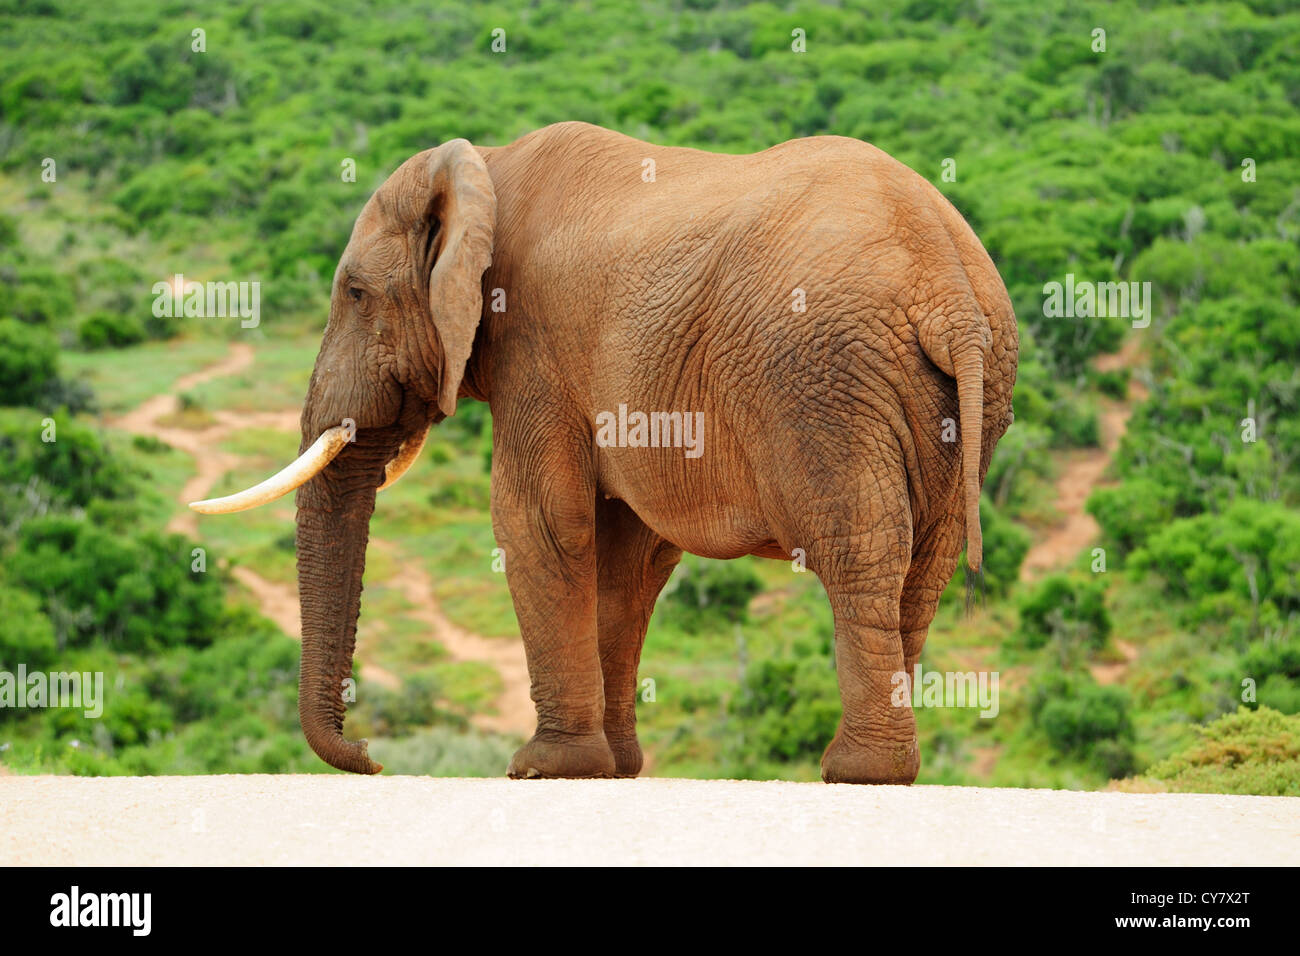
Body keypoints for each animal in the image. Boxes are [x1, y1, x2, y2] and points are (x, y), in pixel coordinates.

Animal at [192, 121, 1018, 784]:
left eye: (356, 294)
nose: (369, 757)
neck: (486, 168)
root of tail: (949, 289)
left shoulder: (534, 345)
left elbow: (537, 524)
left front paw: (542, 768)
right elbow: (627, 561)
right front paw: (615, 768)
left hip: (822, 381)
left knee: (859, 553)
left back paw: (856, 773)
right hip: (959, 398)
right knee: (923, 569)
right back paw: (889, 767)